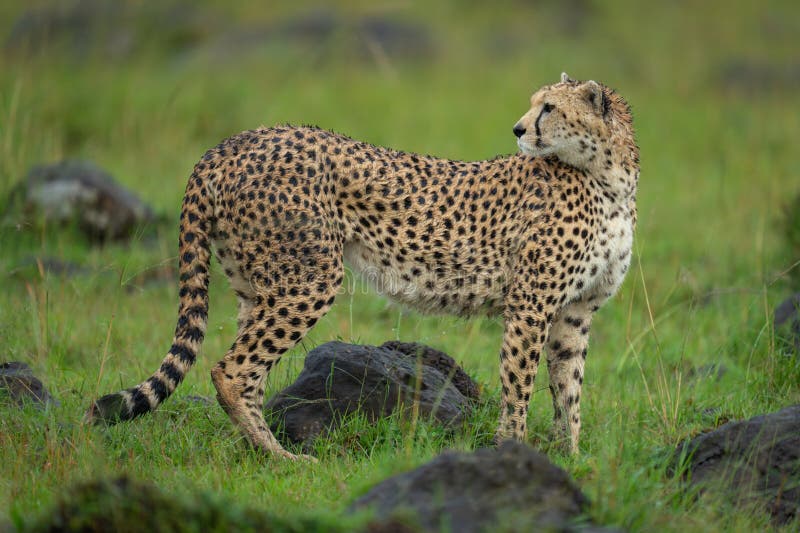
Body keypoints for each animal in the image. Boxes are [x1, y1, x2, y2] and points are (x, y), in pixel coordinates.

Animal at [87, 73, 639, 459]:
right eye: (534, 104)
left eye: (550, 107)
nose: (519, 129)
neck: (610, 178)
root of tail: (231, 142)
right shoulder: (530, 305)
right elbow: (519, 386)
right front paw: (515, 454)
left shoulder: (573, 314)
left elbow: (568, 390)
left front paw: (571, 458)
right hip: (310, 278)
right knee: (231, 369)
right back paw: (281, 457)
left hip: (257, 283)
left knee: (248, 369)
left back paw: (258, 449)